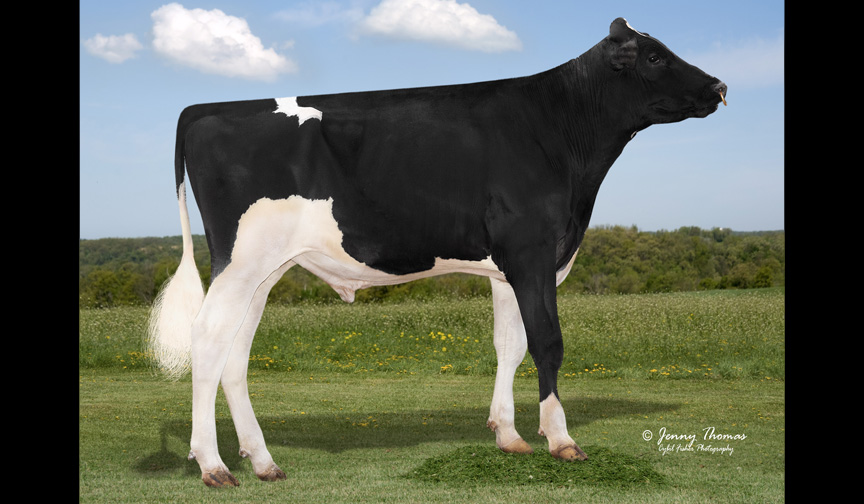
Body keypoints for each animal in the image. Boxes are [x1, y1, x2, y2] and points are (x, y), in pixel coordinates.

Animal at [148, 17, 726, 487]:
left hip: (263, 270)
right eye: (654, 57)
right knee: (206, 339)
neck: (557, 130)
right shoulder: (534, 252)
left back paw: (264, 462)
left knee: (235, 353)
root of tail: (205, 109)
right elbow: (548, 342)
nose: (720, 87)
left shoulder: (509, 267)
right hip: (241, 261)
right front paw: (561, 440)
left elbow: (510, 345)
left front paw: (508, 435)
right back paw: (213, 466)